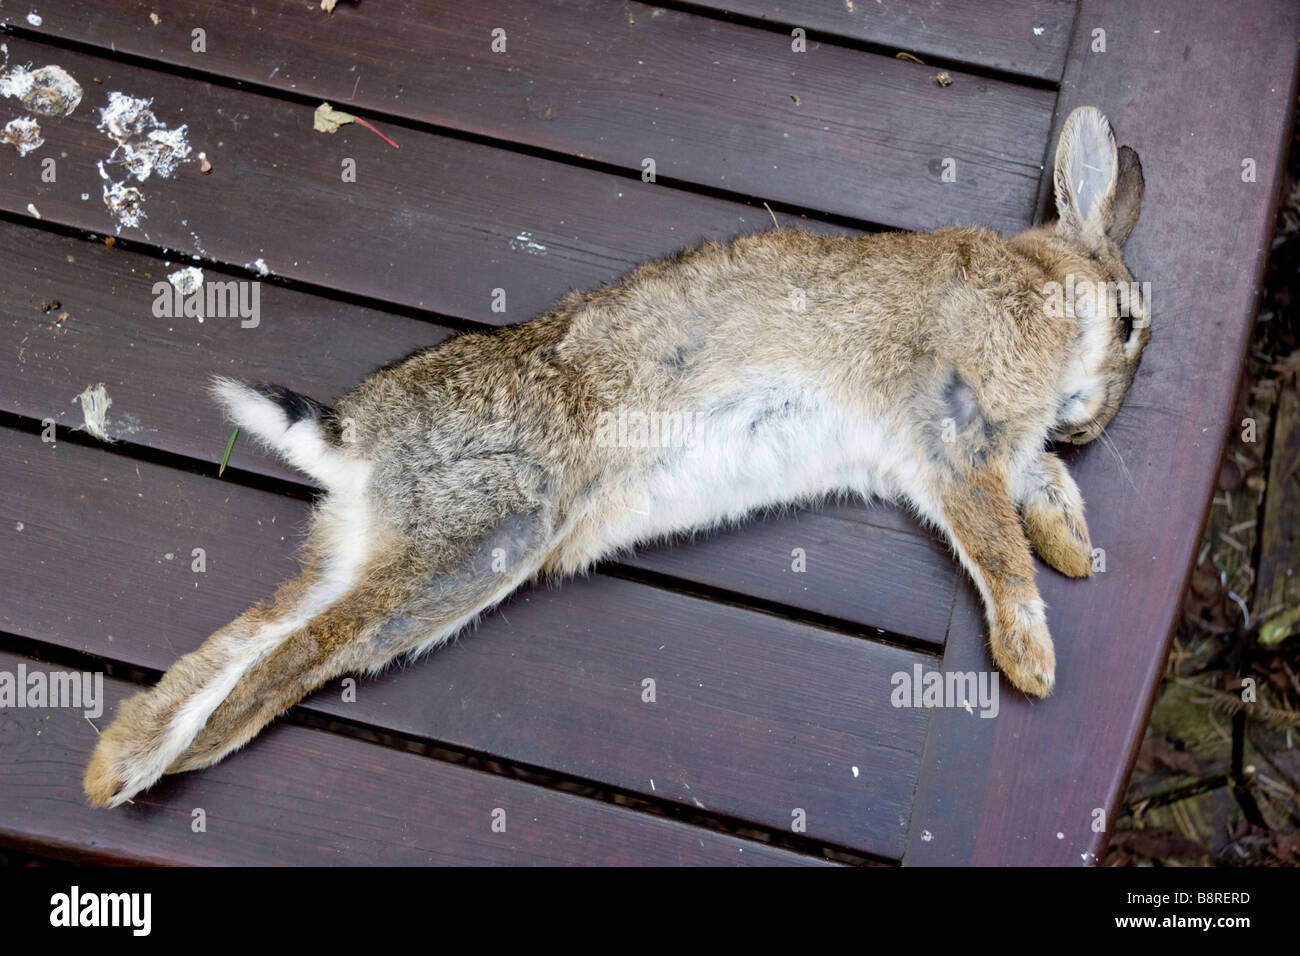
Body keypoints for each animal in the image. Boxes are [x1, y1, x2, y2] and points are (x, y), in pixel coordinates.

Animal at [84, 106, 1148, 807]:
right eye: (1134, 323)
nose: (1093, 428)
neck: (1048, 282)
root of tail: (352, 437)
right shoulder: (958, 433)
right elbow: (997, 550)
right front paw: (1033, 662)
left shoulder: (966, 454)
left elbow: (1035, 490)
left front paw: (1074, 549)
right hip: (483, 535)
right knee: (301, 649)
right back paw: (162, 770)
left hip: (397, 545)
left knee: (258, 633)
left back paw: (121, 764)